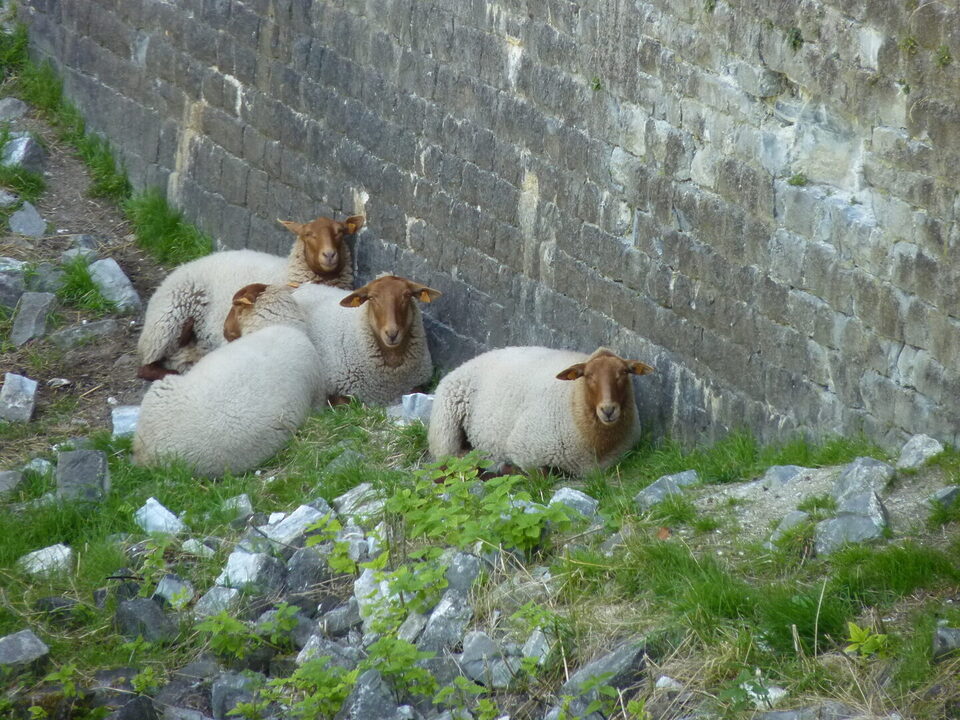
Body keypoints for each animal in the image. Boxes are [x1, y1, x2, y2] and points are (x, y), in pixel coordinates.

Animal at [140, 214, 368, 380]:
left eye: (340, 232)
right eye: (307, 234)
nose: (329, 255)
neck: (287, 271)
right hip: (165, 323)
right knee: (146, 367)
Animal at [426, 348, 652, 478]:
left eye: (624, 373)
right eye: (587, 376)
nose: (608, 409)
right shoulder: (524, 450)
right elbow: (541, 475)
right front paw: (509, 469)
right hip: (444, 427)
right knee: (449, 462)